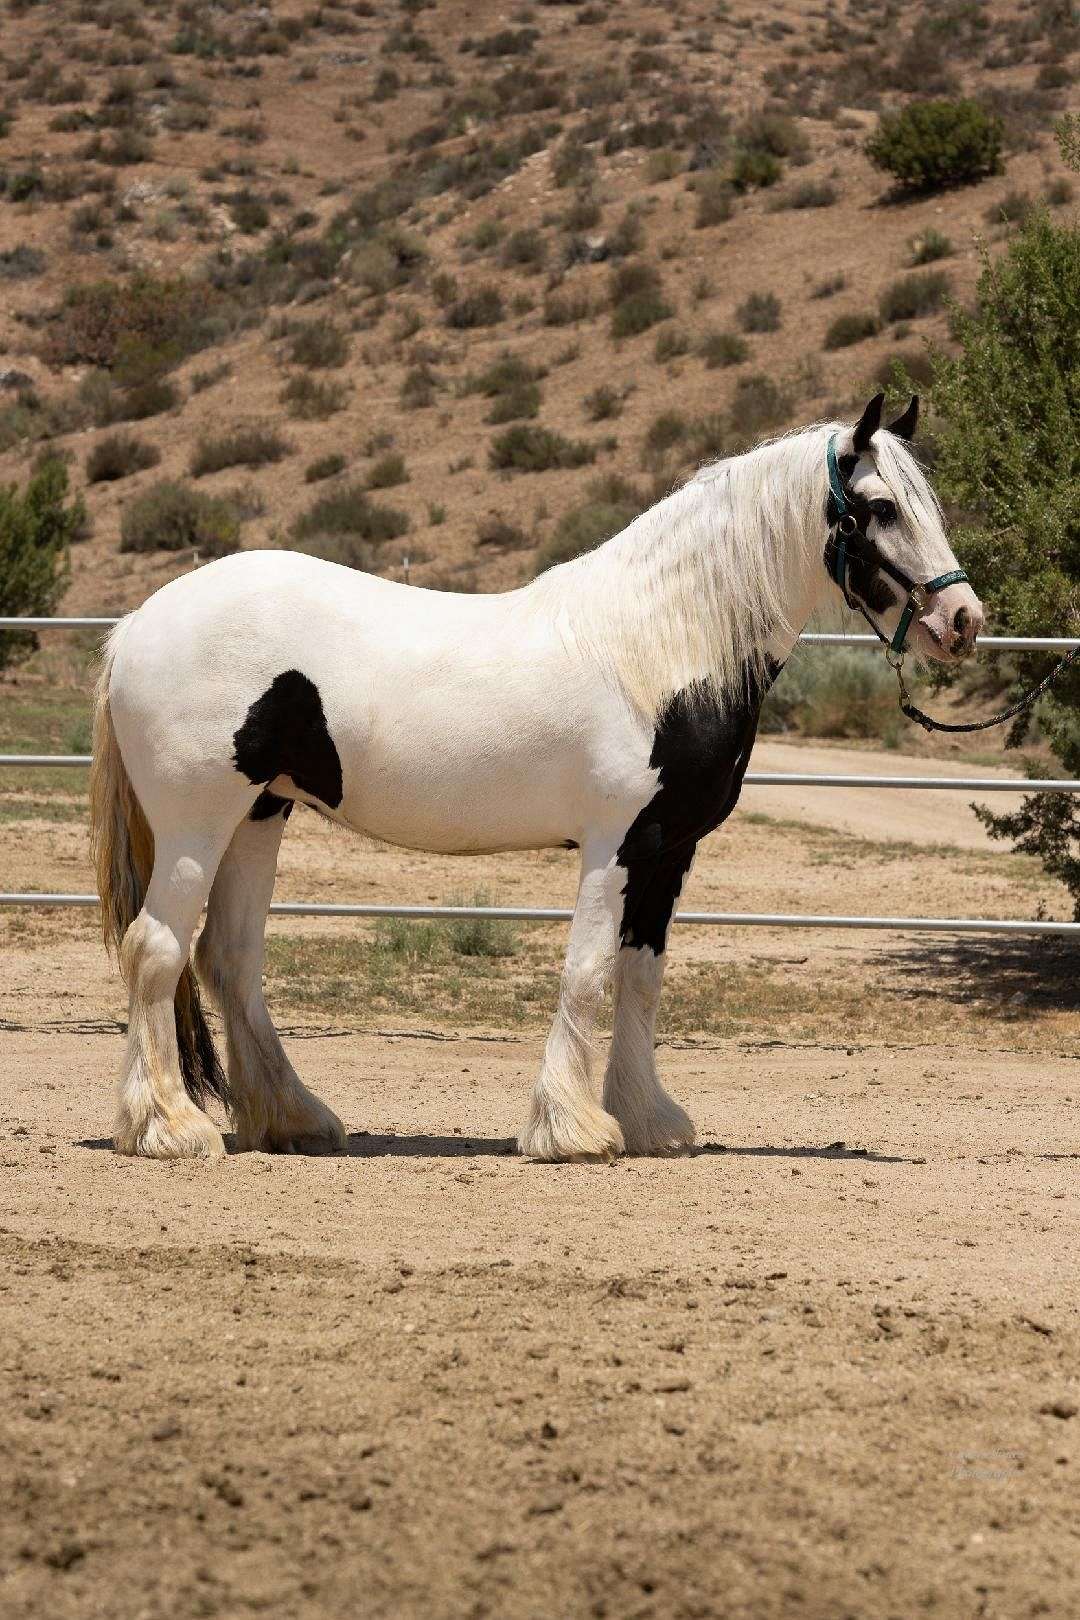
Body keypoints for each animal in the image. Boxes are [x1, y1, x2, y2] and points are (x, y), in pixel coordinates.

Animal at [89, 391, 984, 1162]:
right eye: (881, 508)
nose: (962, 622)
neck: (659, 649)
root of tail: (137, 624)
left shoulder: (667, 853)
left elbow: (640, 980)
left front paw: (649, 1120)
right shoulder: (614, 845)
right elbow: (587, 975)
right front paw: (572, 1130)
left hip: (260, 816)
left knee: (230, 959)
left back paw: (293, 1119)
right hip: (198, 823)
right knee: (157, 948)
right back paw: (168, 1128)